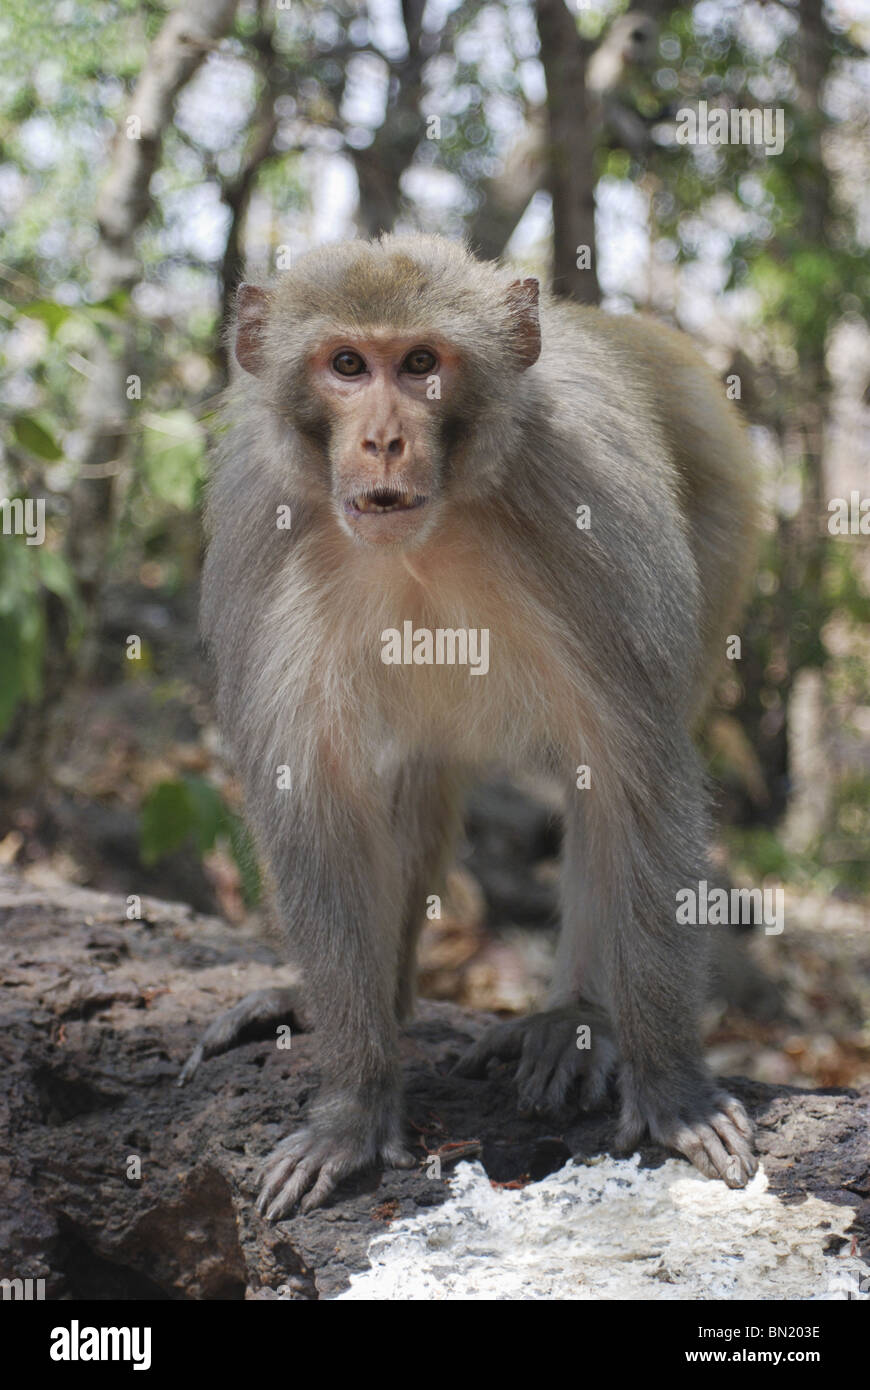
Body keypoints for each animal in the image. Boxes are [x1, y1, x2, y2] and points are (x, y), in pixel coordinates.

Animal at [179, 234, 759, 1218]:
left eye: (421, 364)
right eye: (346, 365)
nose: (383, 439)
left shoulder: (590, 505)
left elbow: (635, 772)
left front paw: (674, 1088)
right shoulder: (266, 527)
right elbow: (312, 793)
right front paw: (354, 1102)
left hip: (722, 523)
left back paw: (574, 1020)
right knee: (415, 771)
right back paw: (371, 1002)